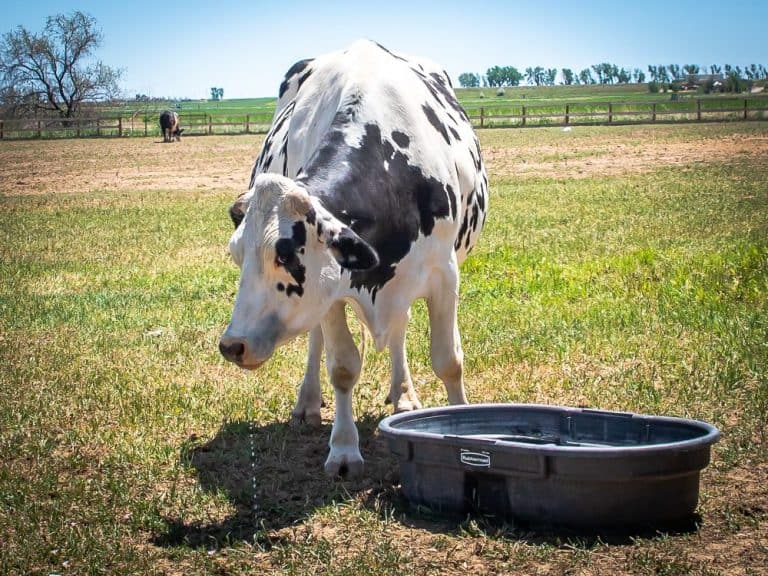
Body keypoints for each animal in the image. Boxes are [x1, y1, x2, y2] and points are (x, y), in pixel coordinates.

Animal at [219, 39, 488, 477]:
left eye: (285, 255)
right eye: (236, 254)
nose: (232, 345)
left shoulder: (444, 275)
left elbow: (448, 359)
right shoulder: (331, 291)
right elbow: (342, 366)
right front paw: (344, 450)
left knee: (399, 328)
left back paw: (403, 394)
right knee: (317, 340)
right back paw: (308, 403)